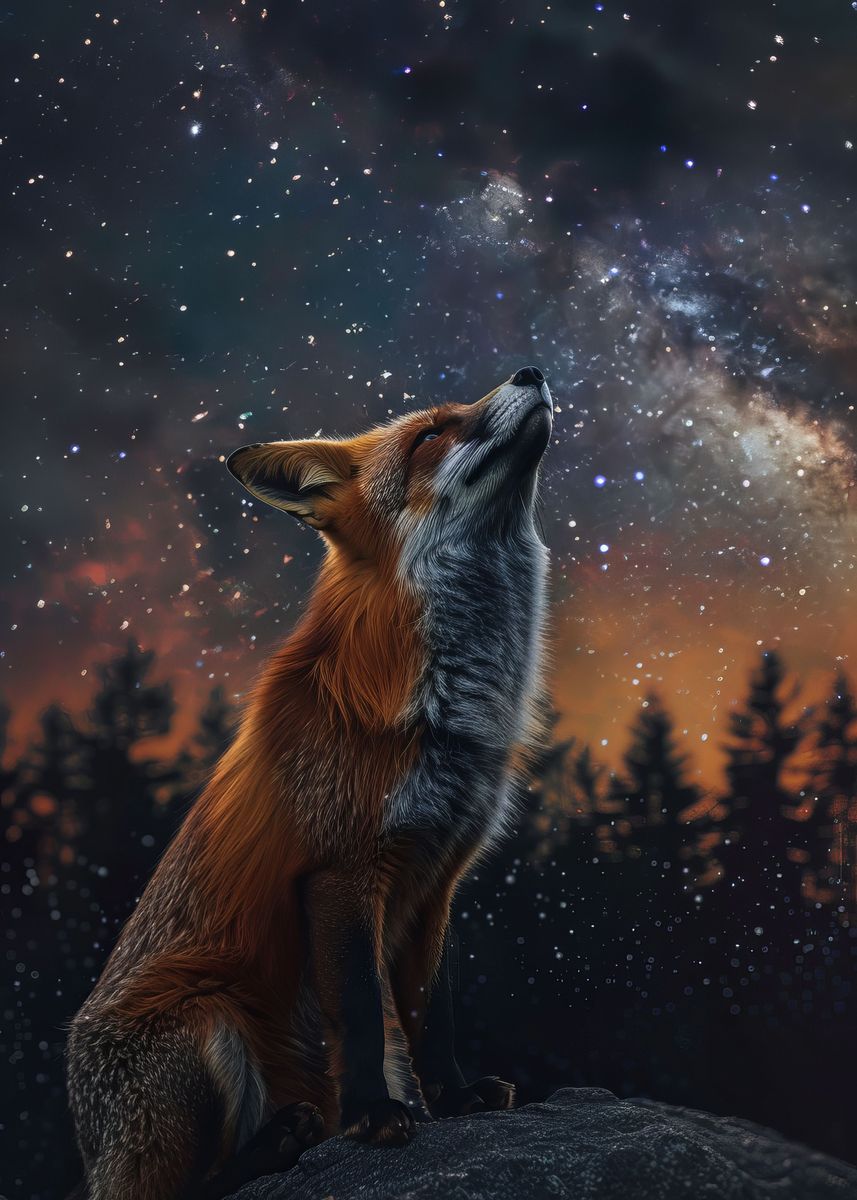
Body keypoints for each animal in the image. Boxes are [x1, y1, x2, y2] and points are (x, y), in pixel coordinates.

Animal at [65, 365, 554, 1200]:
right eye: (431, 433)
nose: (530, 369)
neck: (447, 711)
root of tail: (94, 1153)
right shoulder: (338, 867)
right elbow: (358, 1011)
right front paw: (374, 1115)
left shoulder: (435, 880)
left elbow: (430, 1013)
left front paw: (455, 1098)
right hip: (205, 1019)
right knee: (187, 1186)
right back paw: (279, 1143)